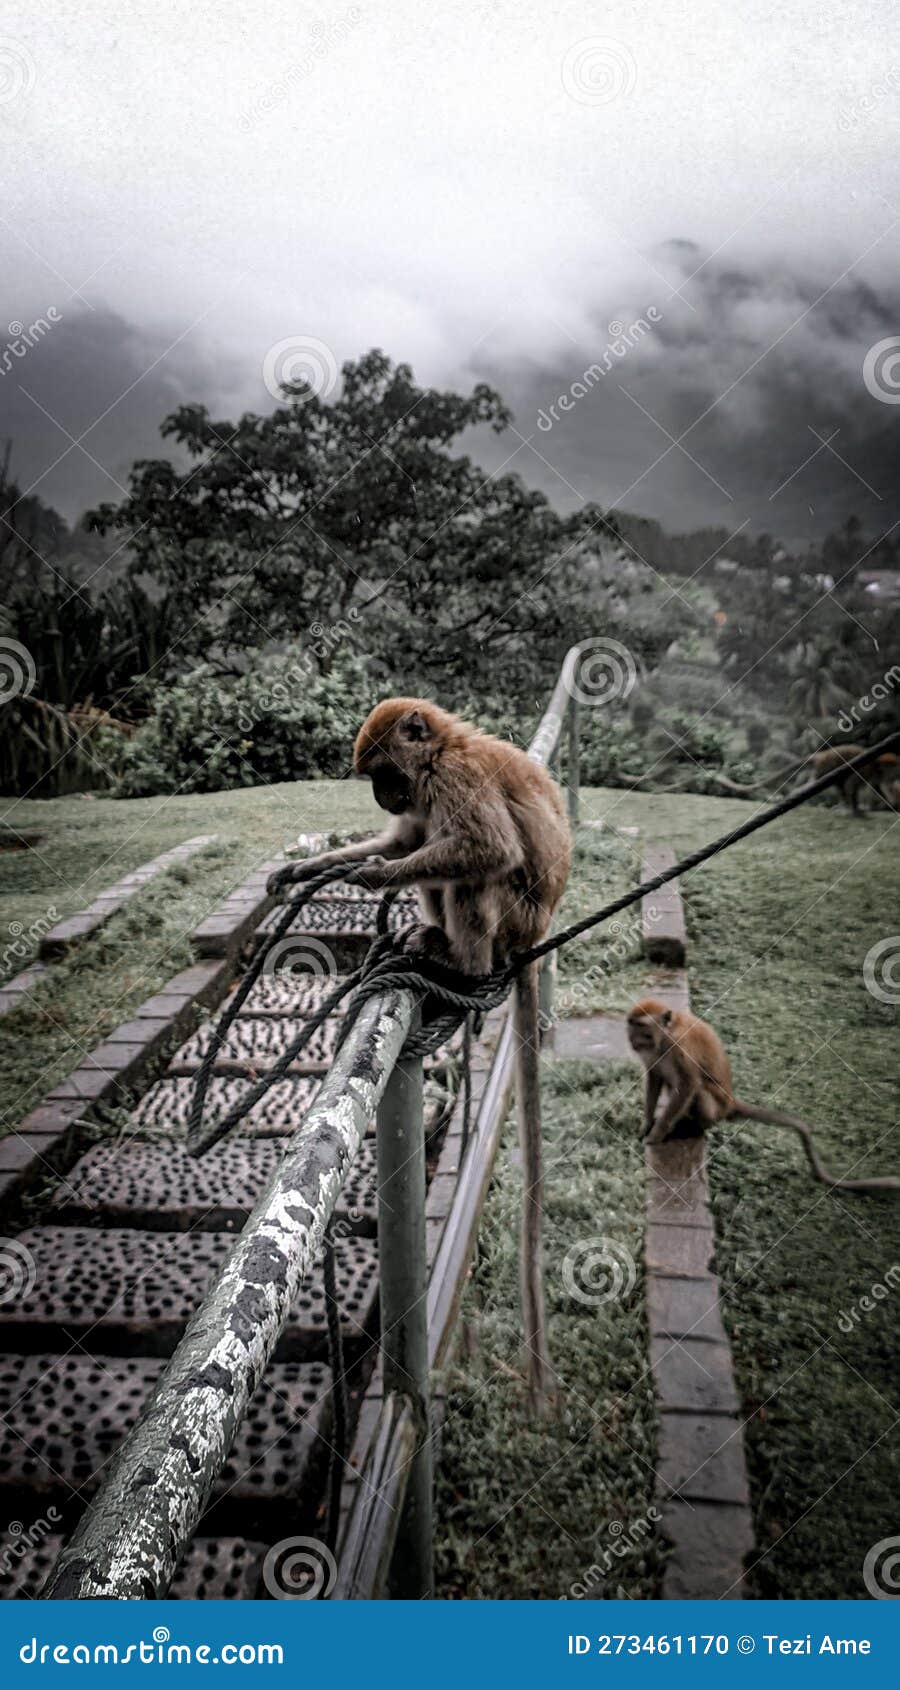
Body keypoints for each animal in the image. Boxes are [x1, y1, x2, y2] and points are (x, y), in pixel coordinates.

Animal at [277, 698, 572, 1413]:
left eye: (383, 773)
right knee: (438, 862)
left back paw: (460, 963)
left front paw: (375, 877)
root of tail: (536, 934)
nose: (383, 795)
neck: (442, 752)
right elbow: (404, 840)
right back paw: (431, 940)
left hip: (512, 918)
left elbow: (487, 848)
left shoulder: (454, 780)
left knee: (476, 872)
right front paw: (313, 869)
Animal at [626, 998, 900, 1194]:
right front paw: (646, 1124)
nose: (633, 1042)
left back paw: (691, 1127)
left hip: (714, 1107)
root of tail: (730, 1103)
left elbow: (688, 1083)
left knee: (700, 1091)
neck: (666, 1035)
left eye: (643, 1028)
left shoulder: (680, 1048)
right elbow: (655, 1076)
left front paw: (656, 1134)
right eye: (631, 1027)